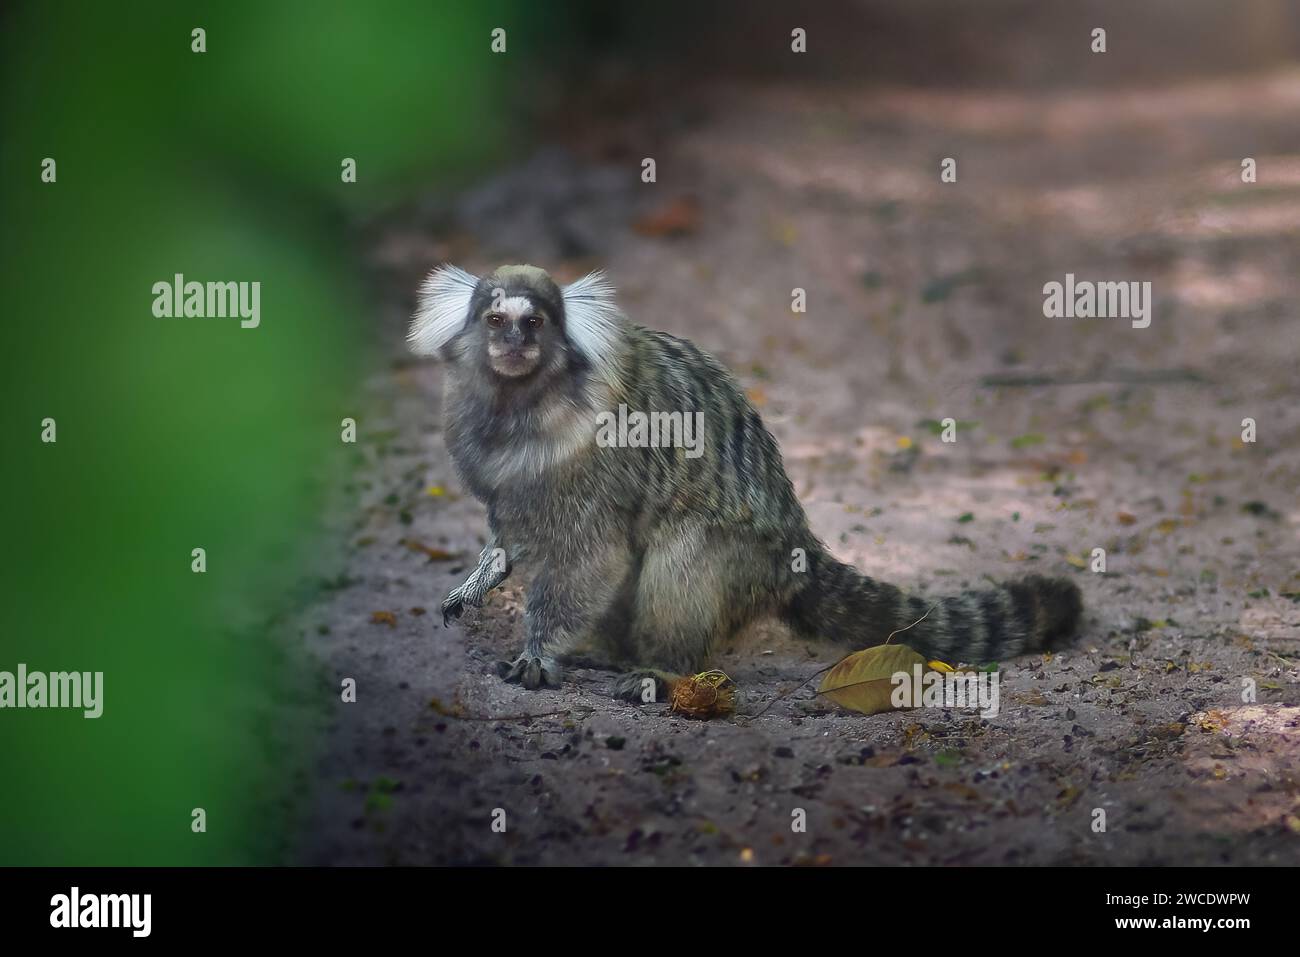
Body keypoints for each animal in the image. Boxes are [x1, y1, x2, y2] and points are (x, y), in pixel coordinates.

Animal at [409, 264, 1083, 699]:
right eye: (496, 318)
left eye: (535, 323)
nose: (512, 342)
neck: (521, 405)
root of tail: (796, 540)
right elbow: (511, 527)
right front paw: (484, 575)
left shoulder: (589, 459)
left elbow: (592, 557)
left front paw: (539, 652)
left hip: (742, 554)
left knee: (682, 560)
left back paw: (663, 671)